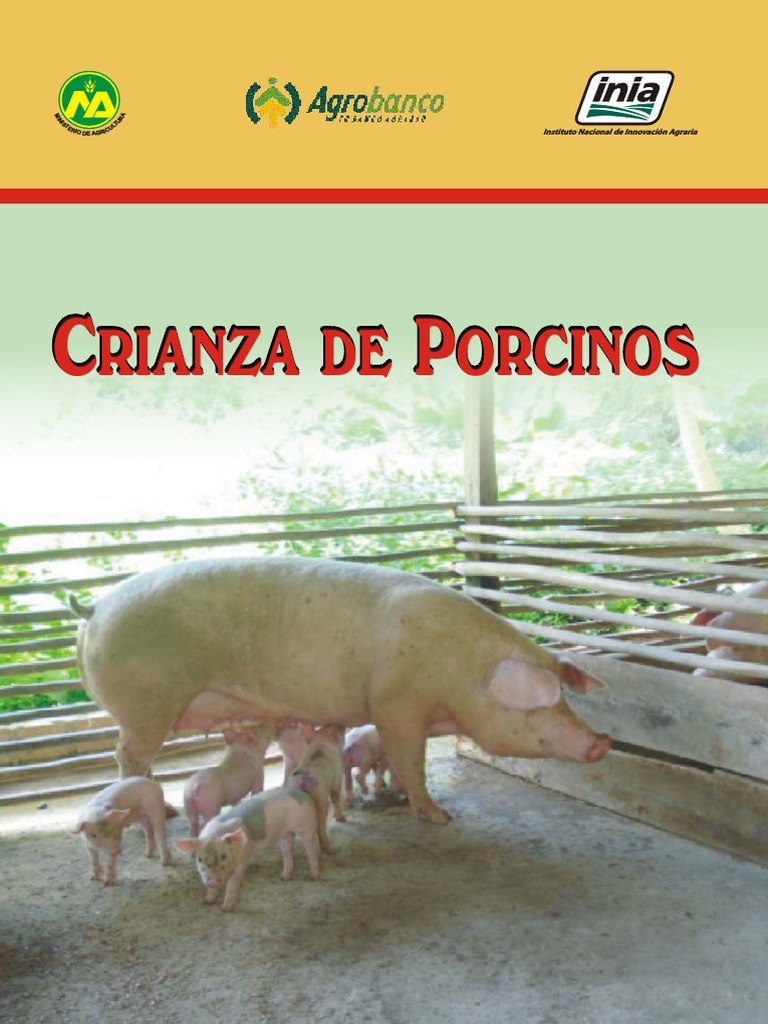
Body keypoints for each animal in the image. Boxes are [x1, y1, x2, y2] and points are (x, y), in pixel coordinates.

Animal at [69, 555, 611, 826]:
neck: (457, 669)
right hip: (145, 706)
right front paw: (439, 816)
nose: (602, 741)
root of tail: (95, 609)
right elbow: (411, 759)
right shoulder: (396, 704)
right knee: (128, 757)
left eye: (565, 698)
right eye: (538, 705)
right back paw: (165, 811)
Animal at [175, 787, 321, 911]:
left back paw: (314, 876)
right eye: (199, 859)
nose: (212, 882)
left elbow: (233, 883)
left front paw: (226, 909)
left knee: (312, 849)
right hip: (284, 833)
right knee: (287, 850)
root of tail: (300, 792)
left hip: (307, 826)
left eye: (224, 856)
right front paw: (207, 901)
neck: (215, 835)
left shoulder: (243, 859)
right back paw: (284, 877)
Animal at [287, 725, 347, 853]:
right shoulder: (337, 779)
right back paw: (330, 849)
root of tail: (301, 782)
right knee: (320, 825)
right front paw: (342, 819)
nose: (342, 725)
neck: (321, 741)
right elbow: (336, 798)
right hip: (320, 798)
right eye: (338, 730)